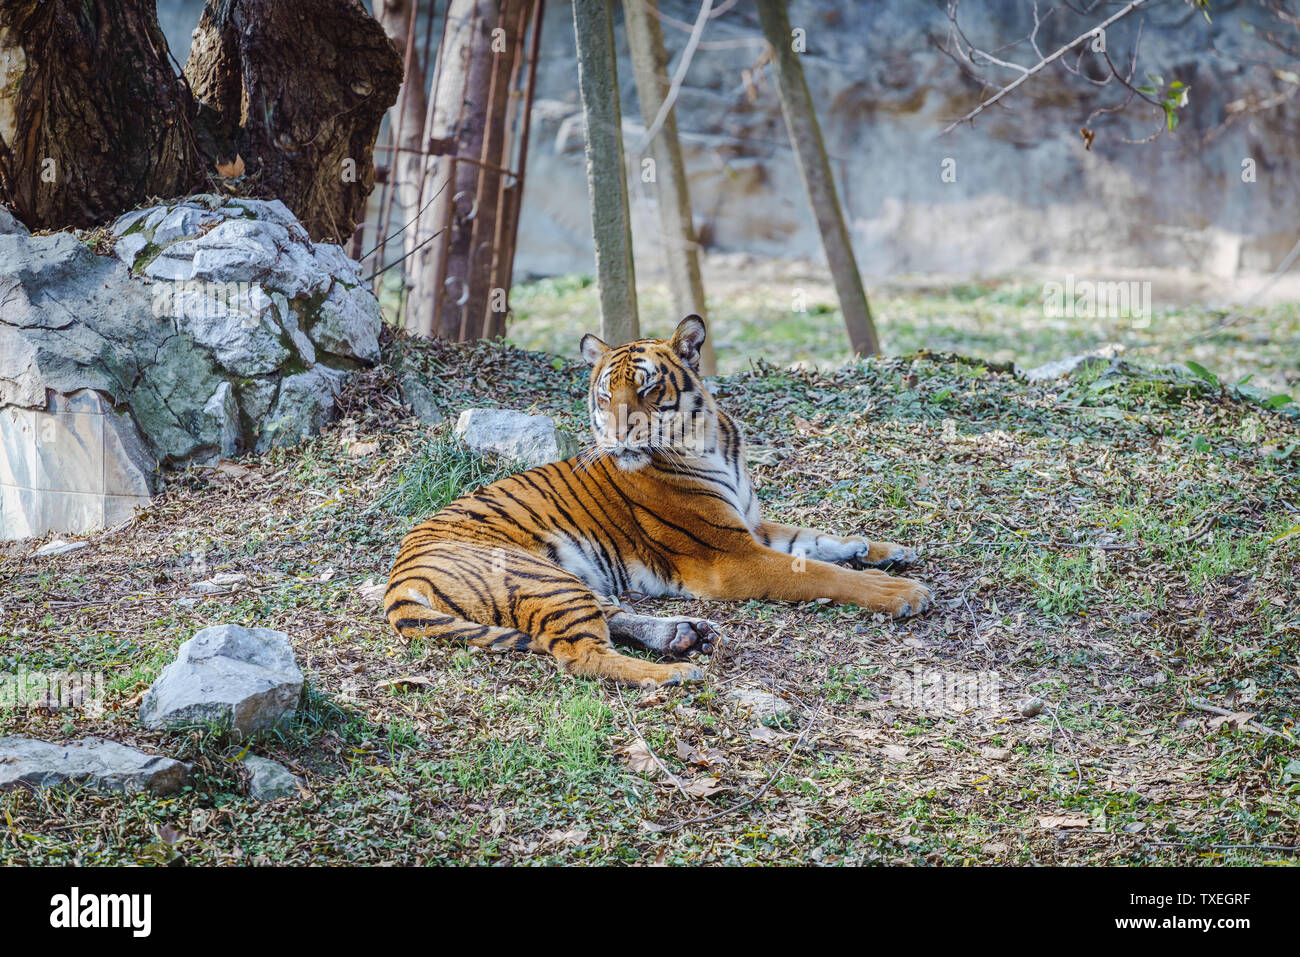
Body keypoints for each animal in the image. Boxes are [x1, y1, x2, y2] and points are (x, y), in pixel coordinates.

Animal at [384, 315, 933, 688]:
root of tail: (400, 575)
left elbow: (814, 538)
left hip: (570, 578)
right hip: (540, 575)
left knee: (608, 614)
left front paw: (883, 549)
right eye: (606, 396)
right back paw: (674, 673)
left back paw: (683, 636)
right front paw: (900, 591)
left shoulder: (752, 526)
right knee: (576, 654)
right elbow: (821, 573)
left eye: (647, 390)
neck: (712, 442)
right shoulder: (733, 556)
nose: (619, 433)